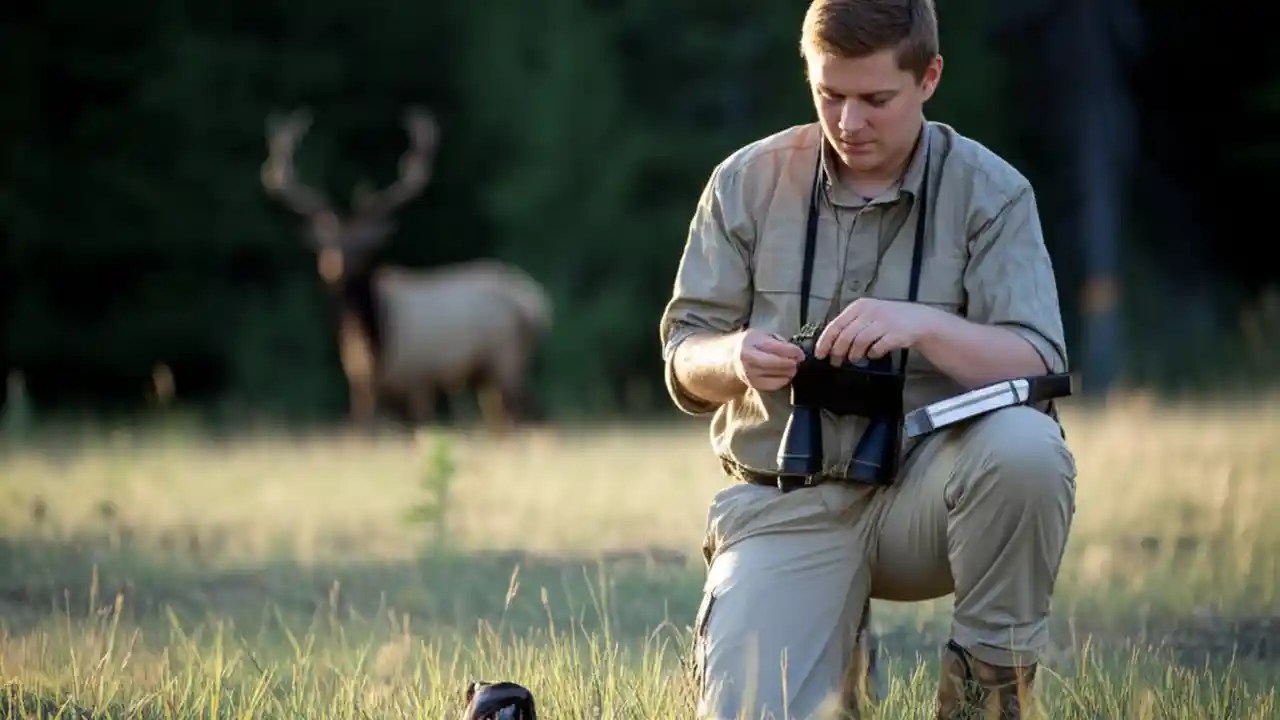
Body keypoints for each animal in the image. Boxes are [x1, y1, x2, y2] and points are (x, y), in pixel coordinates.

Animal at [260, 106, 552, 431]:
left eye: (364, 245)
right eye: (327, 243)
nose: (334, 270)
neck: (372, 348)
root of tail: (537, 305)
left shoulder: (418, 381)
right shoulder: (361, 387)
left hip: (507, 359)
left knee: (531, 413)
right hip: (488, 376)